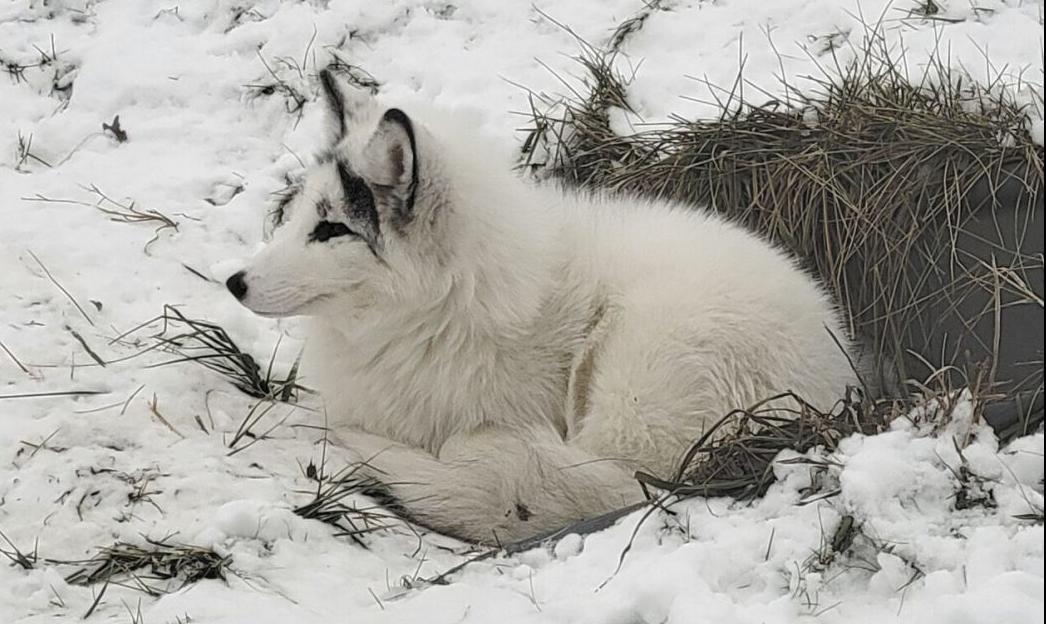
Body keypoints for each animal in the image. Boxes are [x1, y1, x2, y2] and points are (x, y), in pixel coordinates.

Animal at [226, 69, 858, 544]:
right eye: (299, 214)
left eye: (332, 229)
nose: (234, 283)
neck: (452, 301)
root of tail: (841, 382)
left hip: (642, 368)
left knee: (619, 486)